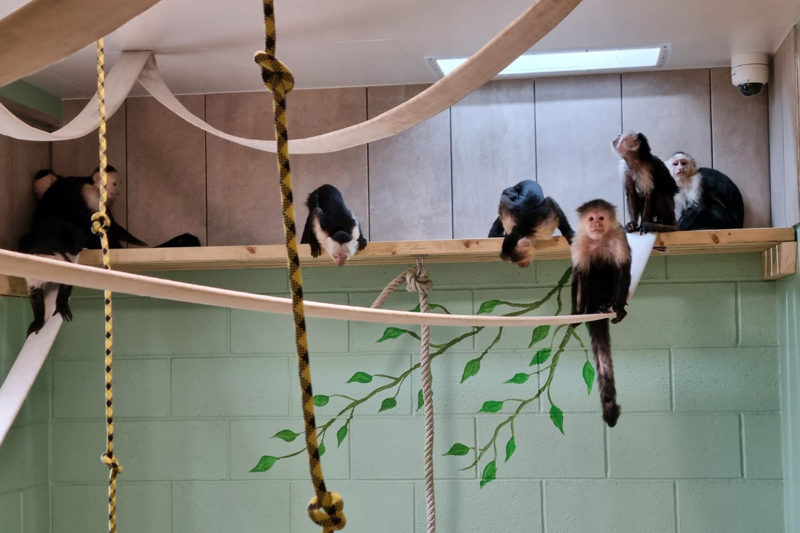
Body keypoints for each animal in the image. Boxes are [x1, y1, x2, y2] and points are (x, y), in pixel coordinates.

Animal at [570, 199, 631, 427]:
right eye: (591, 218)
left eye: (601, 218)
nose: (596, 224)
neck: (598, 240)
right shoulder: (579, 243)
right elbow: (580, 275)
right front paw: (576, 314)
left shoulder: (619, 236)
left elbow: (622, 269)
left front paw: (619, 307)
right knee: (590, 274)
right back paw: (594, 309)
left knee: (608, 268)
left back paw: (608, 306)